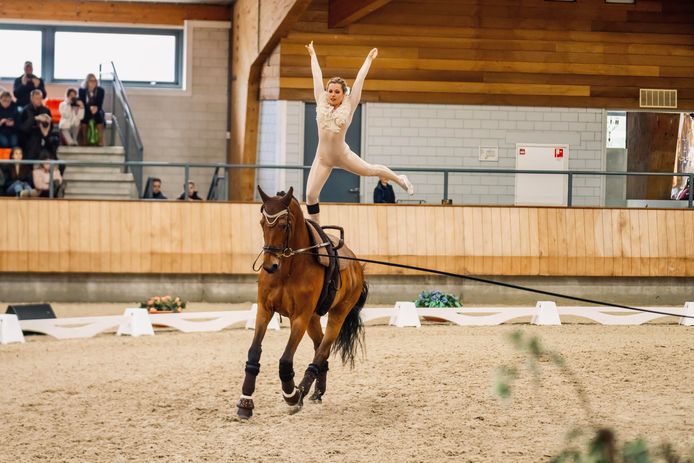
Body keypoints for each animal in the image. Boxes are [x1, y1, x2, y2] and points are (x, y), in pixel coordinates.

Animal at [236, 186, 369, 419]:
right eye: (262, 223)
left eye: (284, 225)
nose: (269, 266)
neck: (288, 268)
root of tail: (356, 265)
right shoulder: (264, 310)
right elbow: (253, 352)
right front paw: (245, 402)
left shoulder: (300, 317)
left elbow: (285, 360)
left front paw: (291, 395)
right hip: (314, 318)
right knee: (319, 347)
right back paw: (317, 392)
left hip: (338, 314)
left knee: (323, 349)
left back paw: (303, 393)